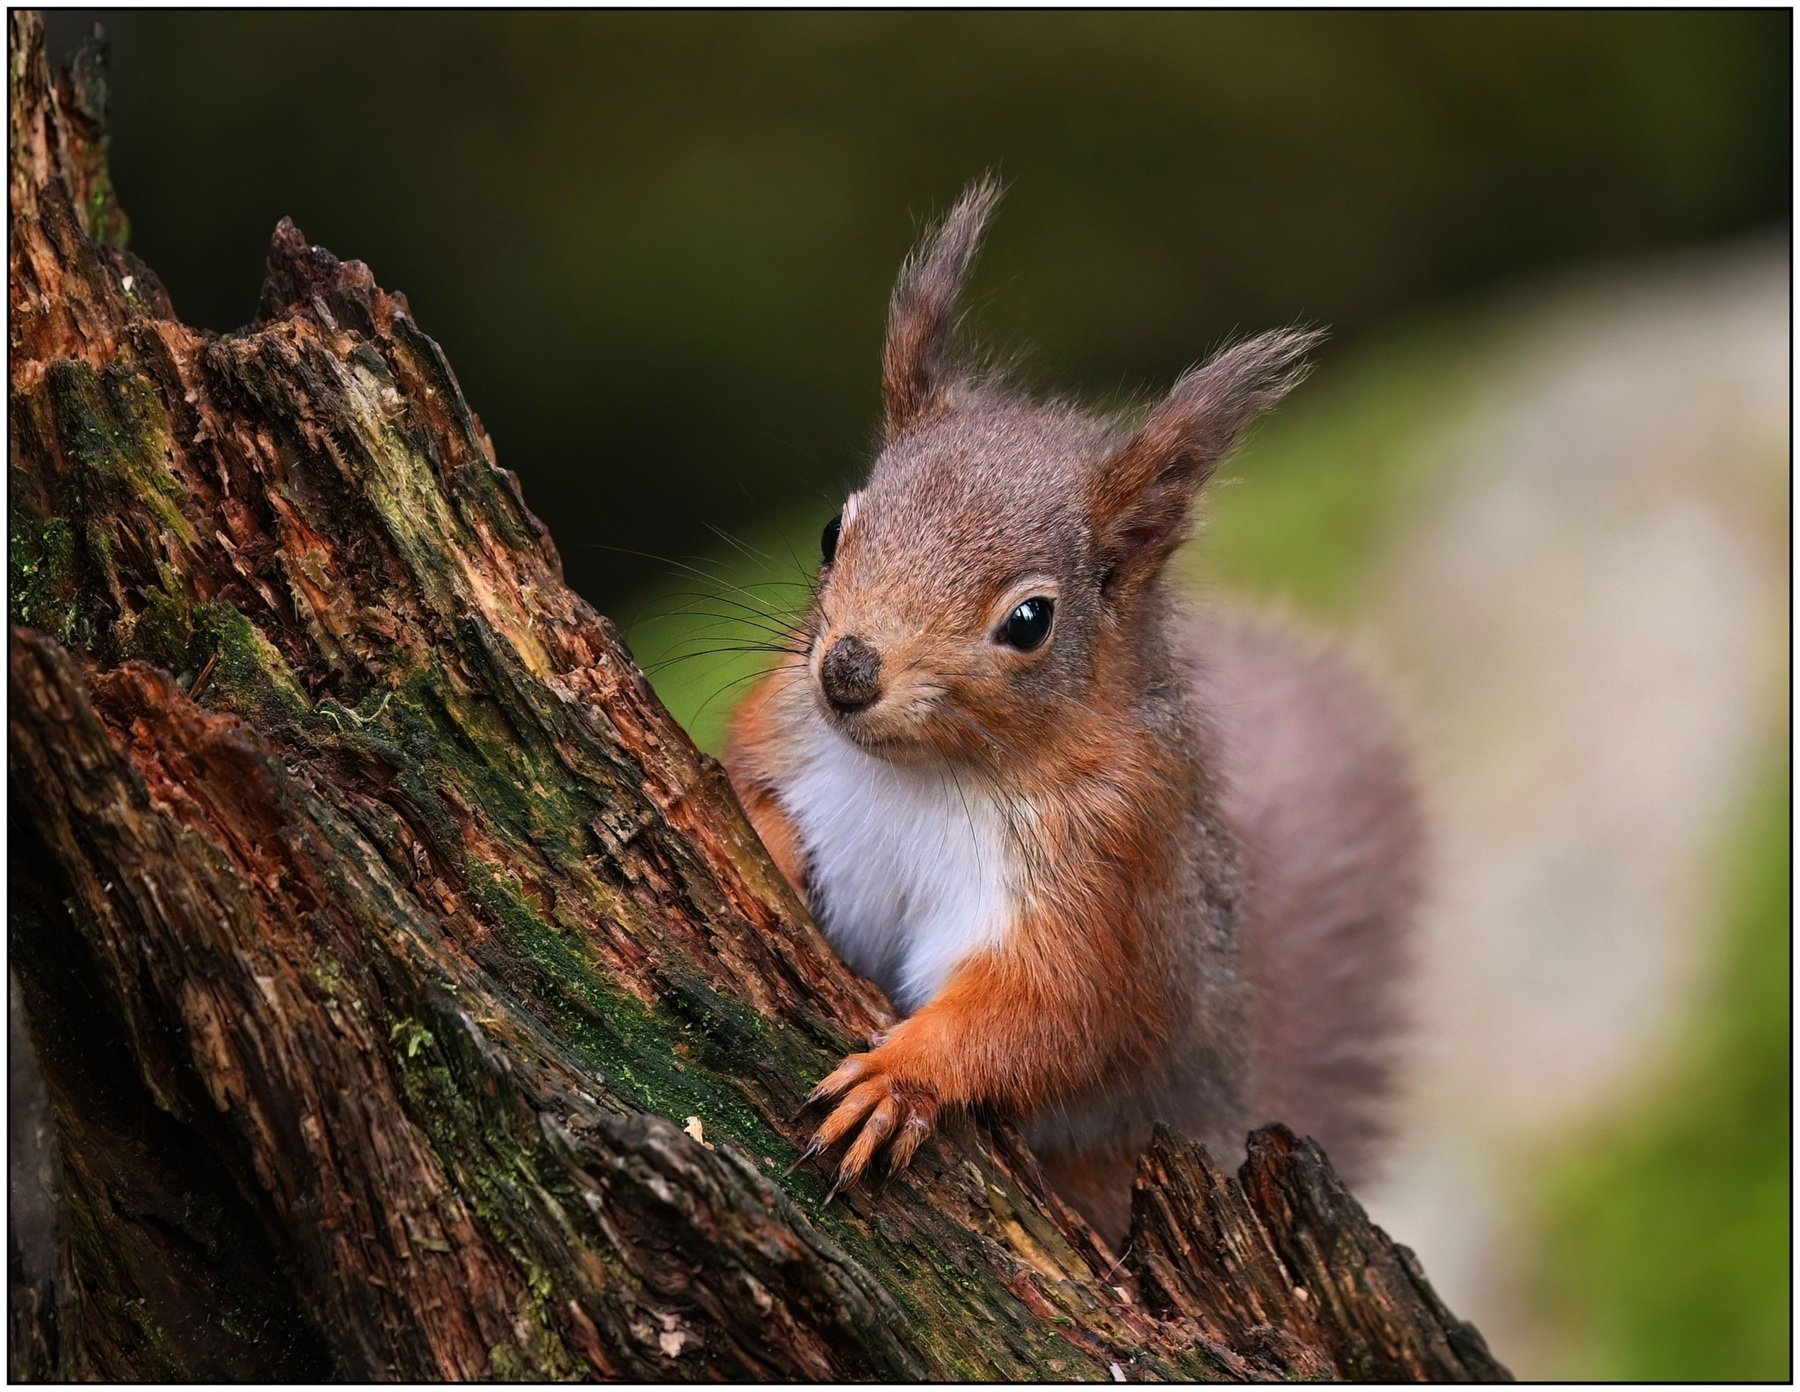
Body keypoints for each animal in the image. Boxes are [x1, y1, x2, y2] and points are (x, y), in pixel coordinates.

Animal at [724, 177, 1421, 1241]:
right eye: (833, 529)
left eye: (1030, 619)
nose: (846, 672)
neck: (925, 769)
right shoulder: (780, 725)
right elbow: (741, 782)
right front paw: (763, 836)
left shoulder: (1106, 871)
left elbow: (1051, 1010)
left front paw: (903, 1077)